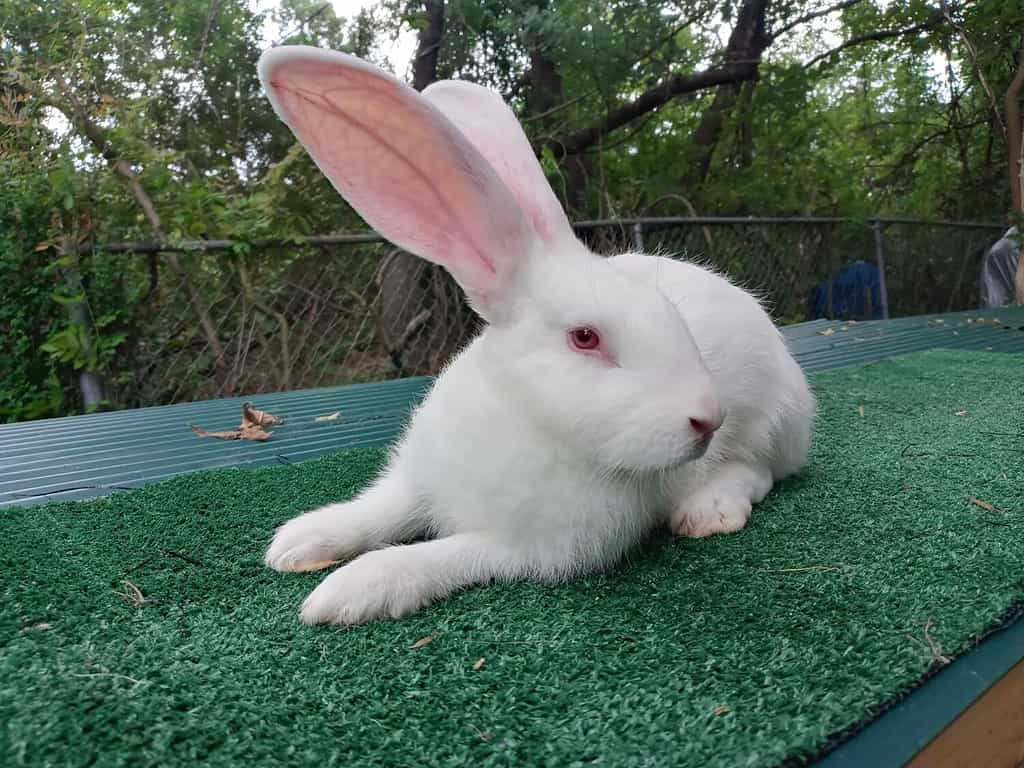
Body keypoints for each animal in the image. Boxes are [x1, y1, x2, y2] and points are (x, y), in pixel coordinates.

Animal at [257, 46, 815, 626]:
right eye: (585, 337)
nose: (708, 418)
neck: (528, 419)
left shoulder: (527, 547)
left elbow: (443, 553)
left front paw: (351, 590)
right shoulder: (416, 482)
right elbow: (380, 512)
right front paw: (299, 542)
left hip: (771, 424)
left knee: (761, 472)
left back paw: (709, 510)